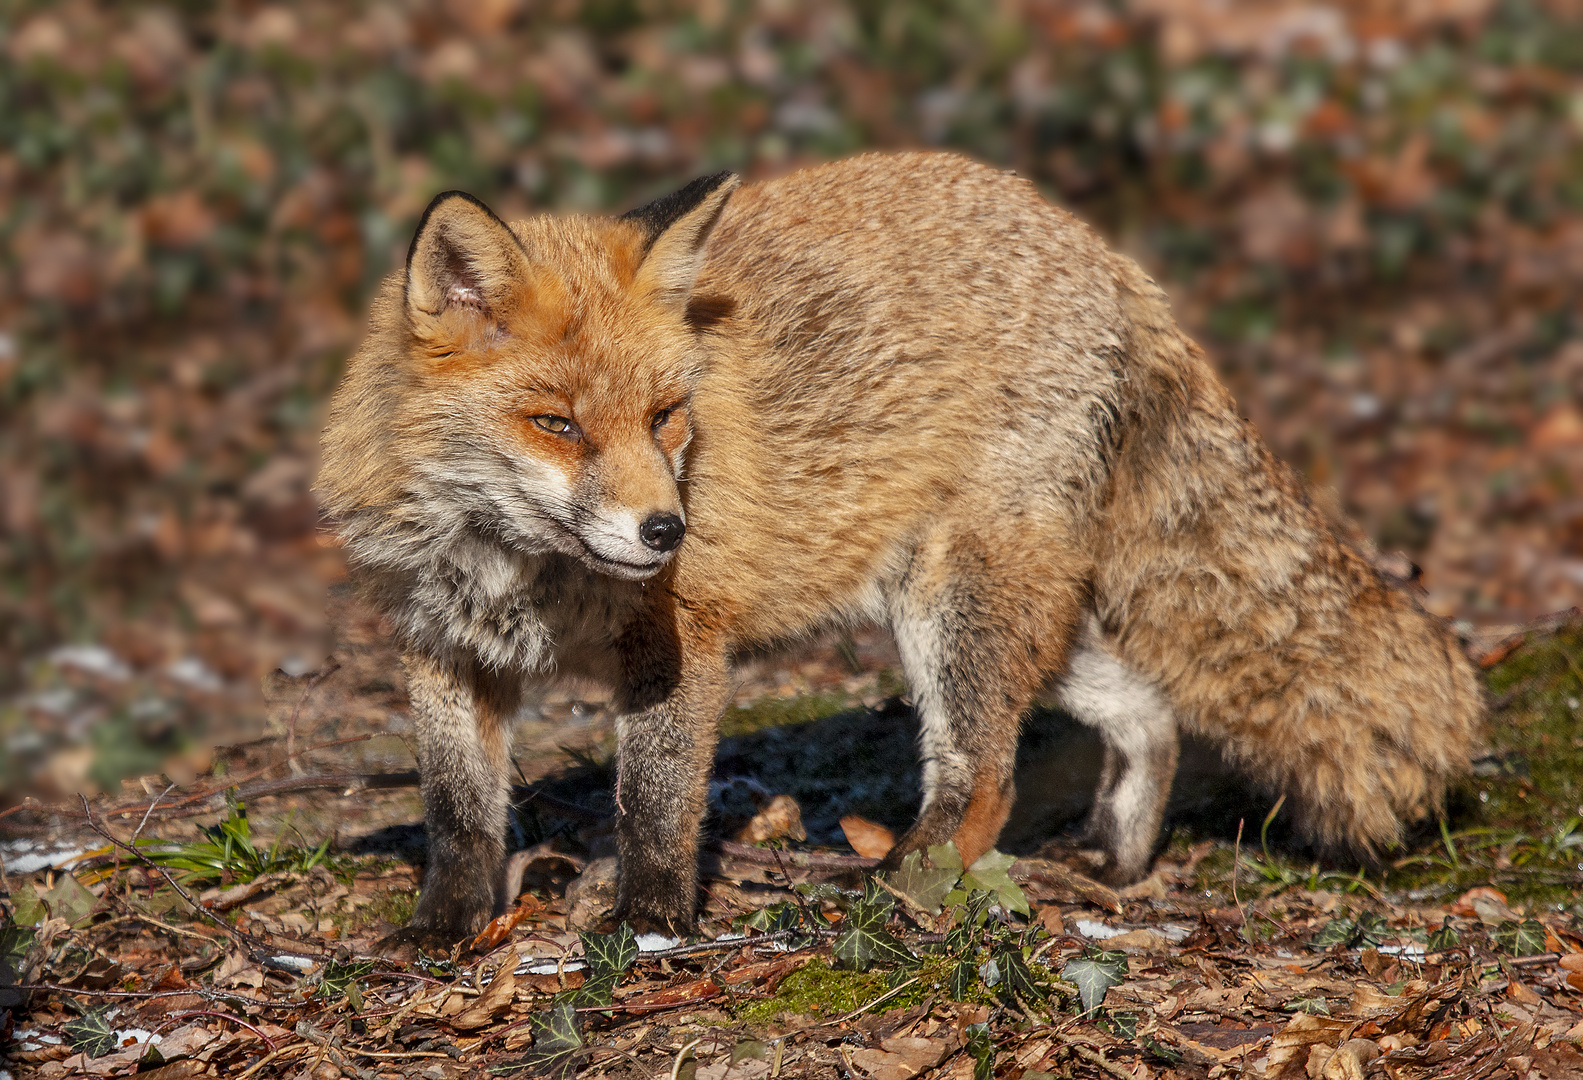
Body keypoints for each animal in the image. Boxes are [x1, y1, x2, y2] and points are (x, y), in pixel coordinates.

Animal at [317, 151, 1484, 943]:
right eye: (555, 424)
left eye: (663, 417)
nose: (668, 529)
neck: (519, 570)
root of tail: (1101, 253)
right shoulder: (441, 647)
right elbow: (458, 813)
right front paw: (444, 930)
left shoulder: (679, 640)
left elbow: (652, 802)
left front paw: (648, 927)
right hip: (1000, 611)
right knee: (1146, 710)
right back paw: (1116, 856)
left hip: (952, 605)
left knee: (985, 780)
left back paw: (897, 893)